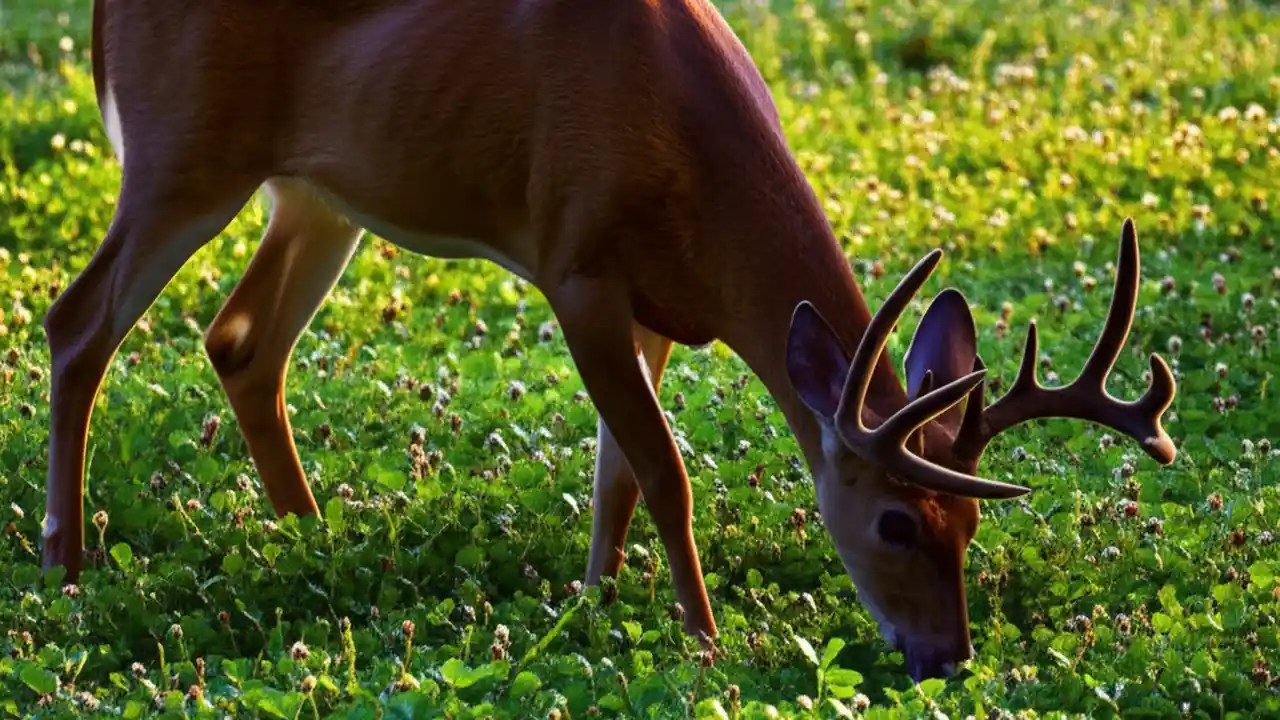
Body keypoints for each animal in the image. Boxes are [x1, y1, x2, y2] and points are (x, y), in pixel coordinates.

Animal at [42, 0, 1177, 681]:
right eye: (897, 524)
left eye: (969, 524)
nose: (946, 658)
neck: (684, 140)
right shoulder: (575, 266)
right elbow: (665, 471)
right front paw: (703, 640)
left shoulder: (656, 308)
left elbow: (616, 476)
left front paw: (596, 609)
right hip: (183, 155)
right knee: (77, 322)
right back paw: (66, 566)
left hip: (318, 195)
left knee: (242, 342)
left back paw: (307, 535)